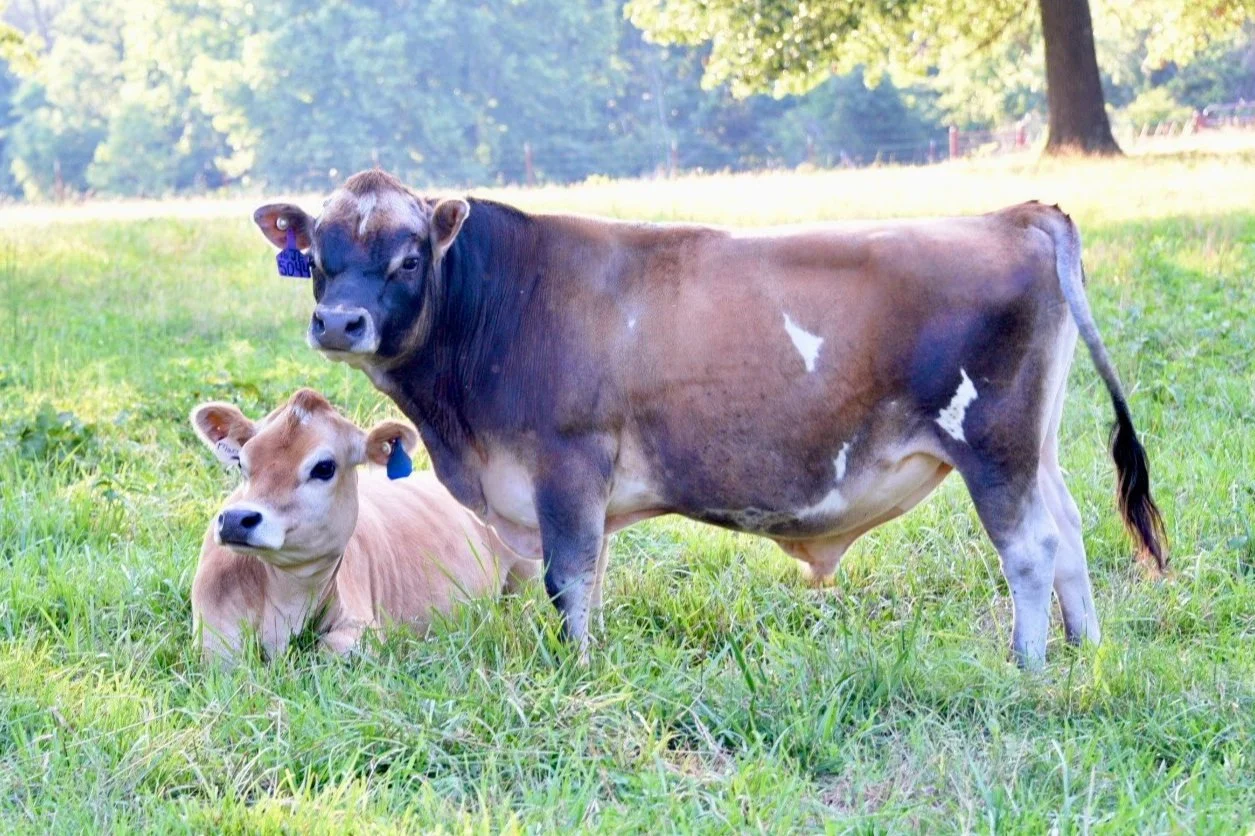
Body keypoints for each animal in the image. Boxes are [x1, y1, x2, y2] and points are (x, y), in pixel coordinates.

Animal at [189, 388, 538, 663]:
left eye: (324, 467)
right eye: (242, 462)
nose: (237, 519)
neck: (286, 596)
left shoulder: (362, 630)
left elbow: (327, 651)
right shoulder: (213, 635)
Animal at [252, 170, 1165, 668]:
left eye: (408, 258)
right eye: (318, 258)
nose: (339, 322)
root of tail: (1015, 214)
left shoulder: (567, 463)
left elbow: (568, 578)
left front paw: (578, 669)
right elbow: (582, 579)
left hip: (992, 443)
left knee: (1030, 548)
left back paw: (1027, 665)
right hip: (1034, 448)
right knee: (1070, 530)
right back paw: (1084, 652)